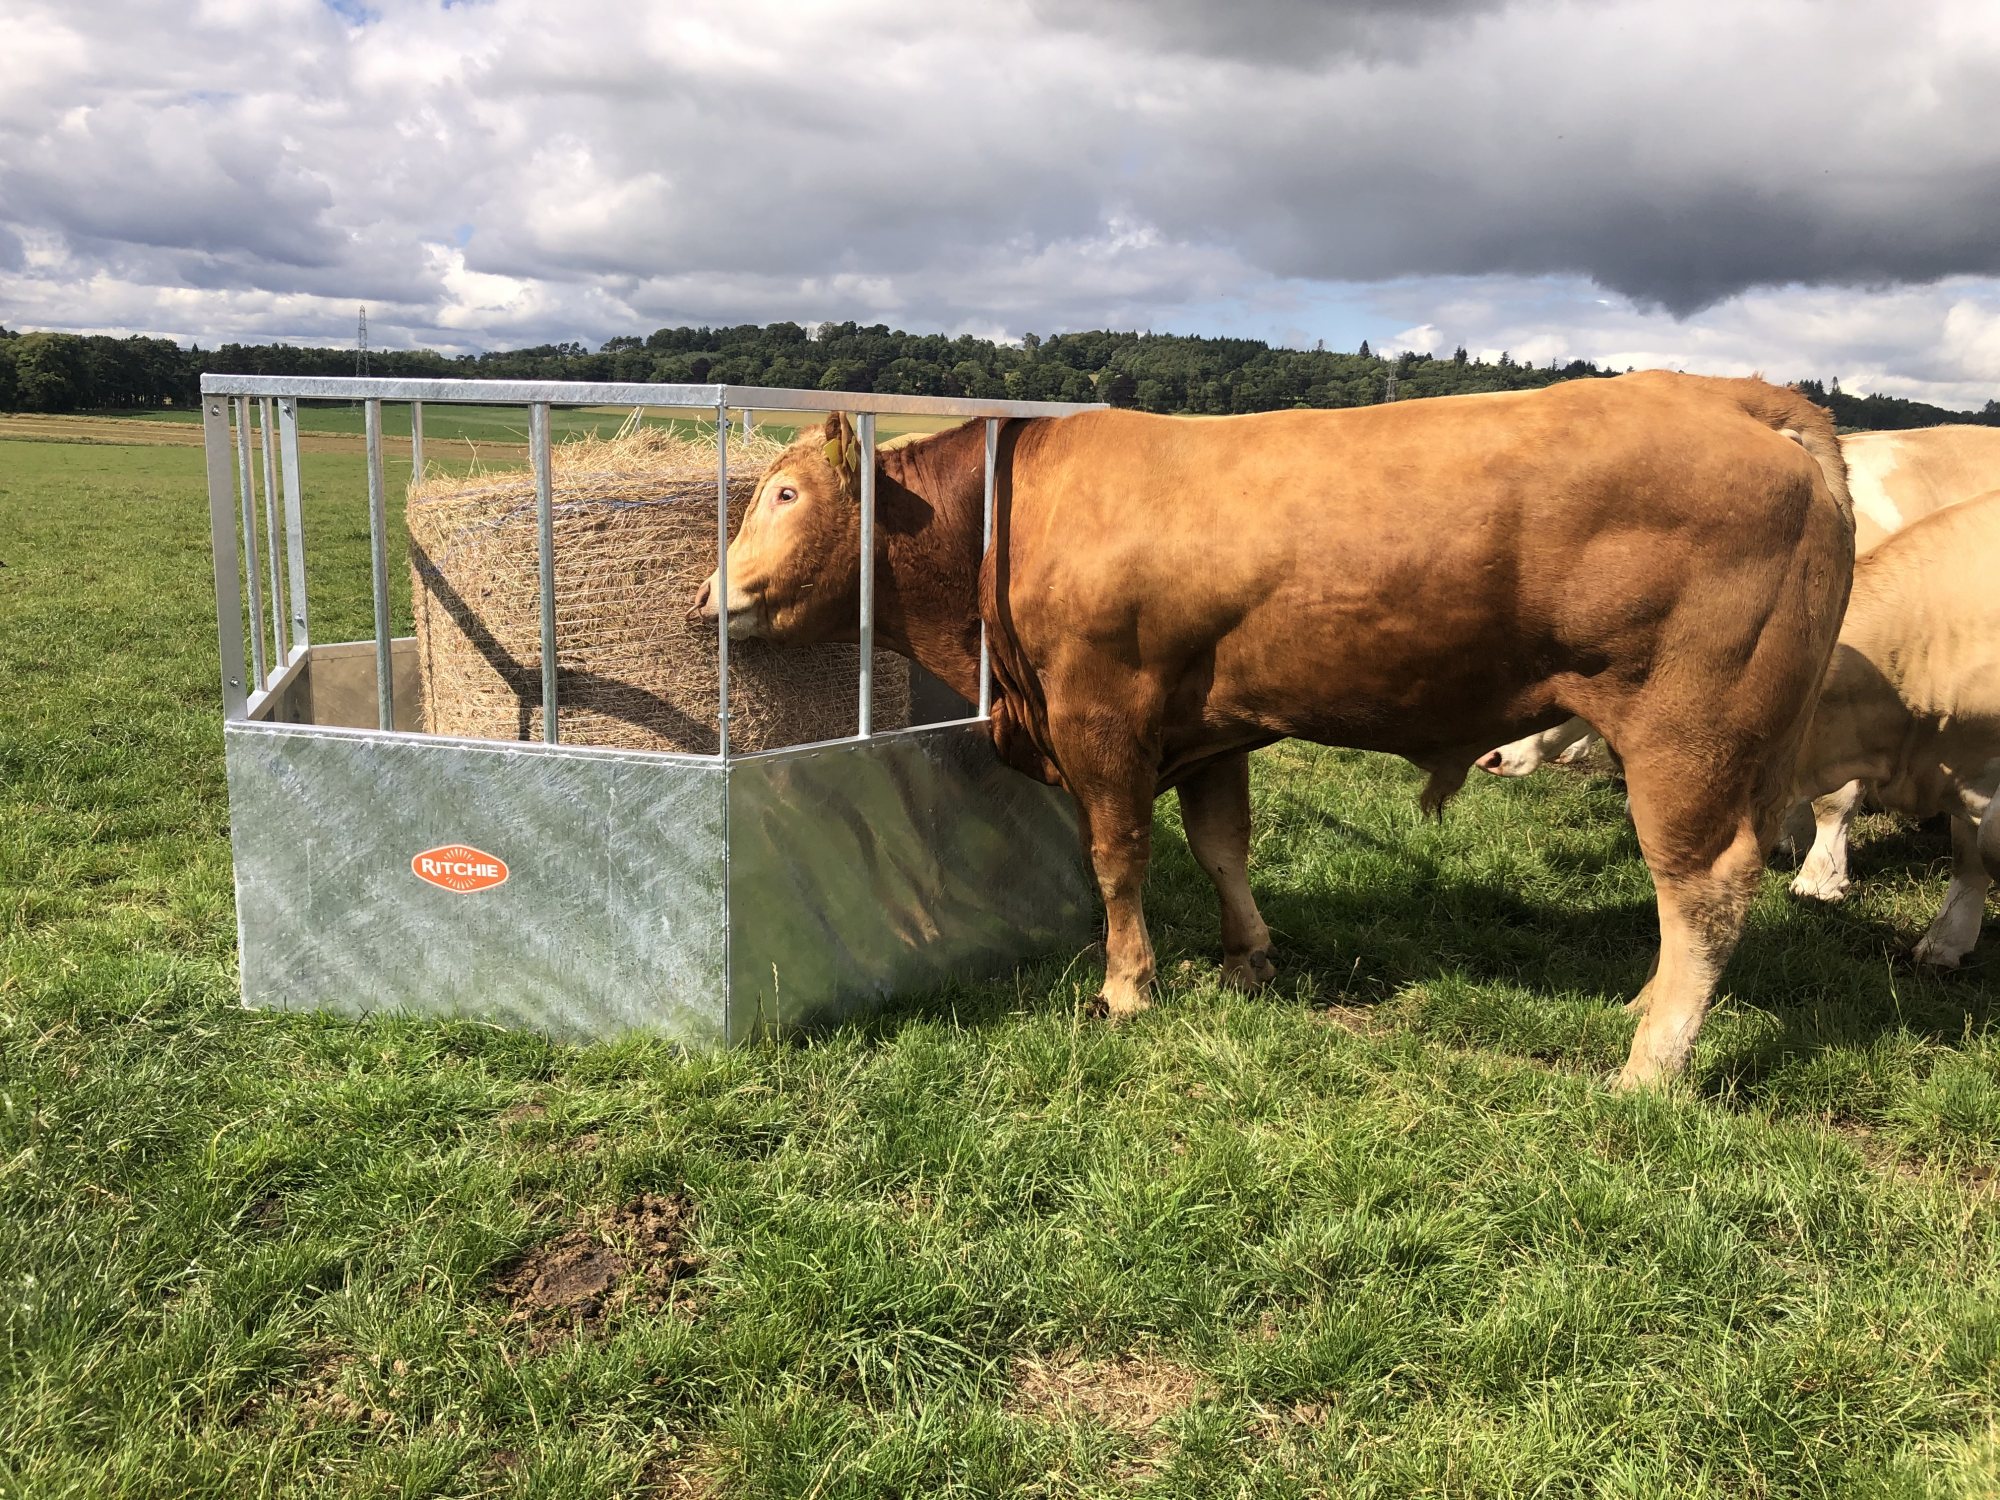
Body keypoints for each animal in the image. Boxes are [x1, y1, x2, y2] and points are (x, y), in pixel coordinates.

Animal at [692, 372, 1853, 1089]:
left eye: (782, 493)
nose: (708, 596)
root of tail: (1733, 397)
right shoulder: (1209, 728)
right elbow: (1221, 846)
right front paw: (1246, 959)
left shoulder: (1100, 713)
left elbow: (1118, 856)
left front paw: (1127, 986)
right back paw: (1639, 1007)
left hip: (1686, 734)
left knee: (1702, 888)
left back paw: (1650, 1063)